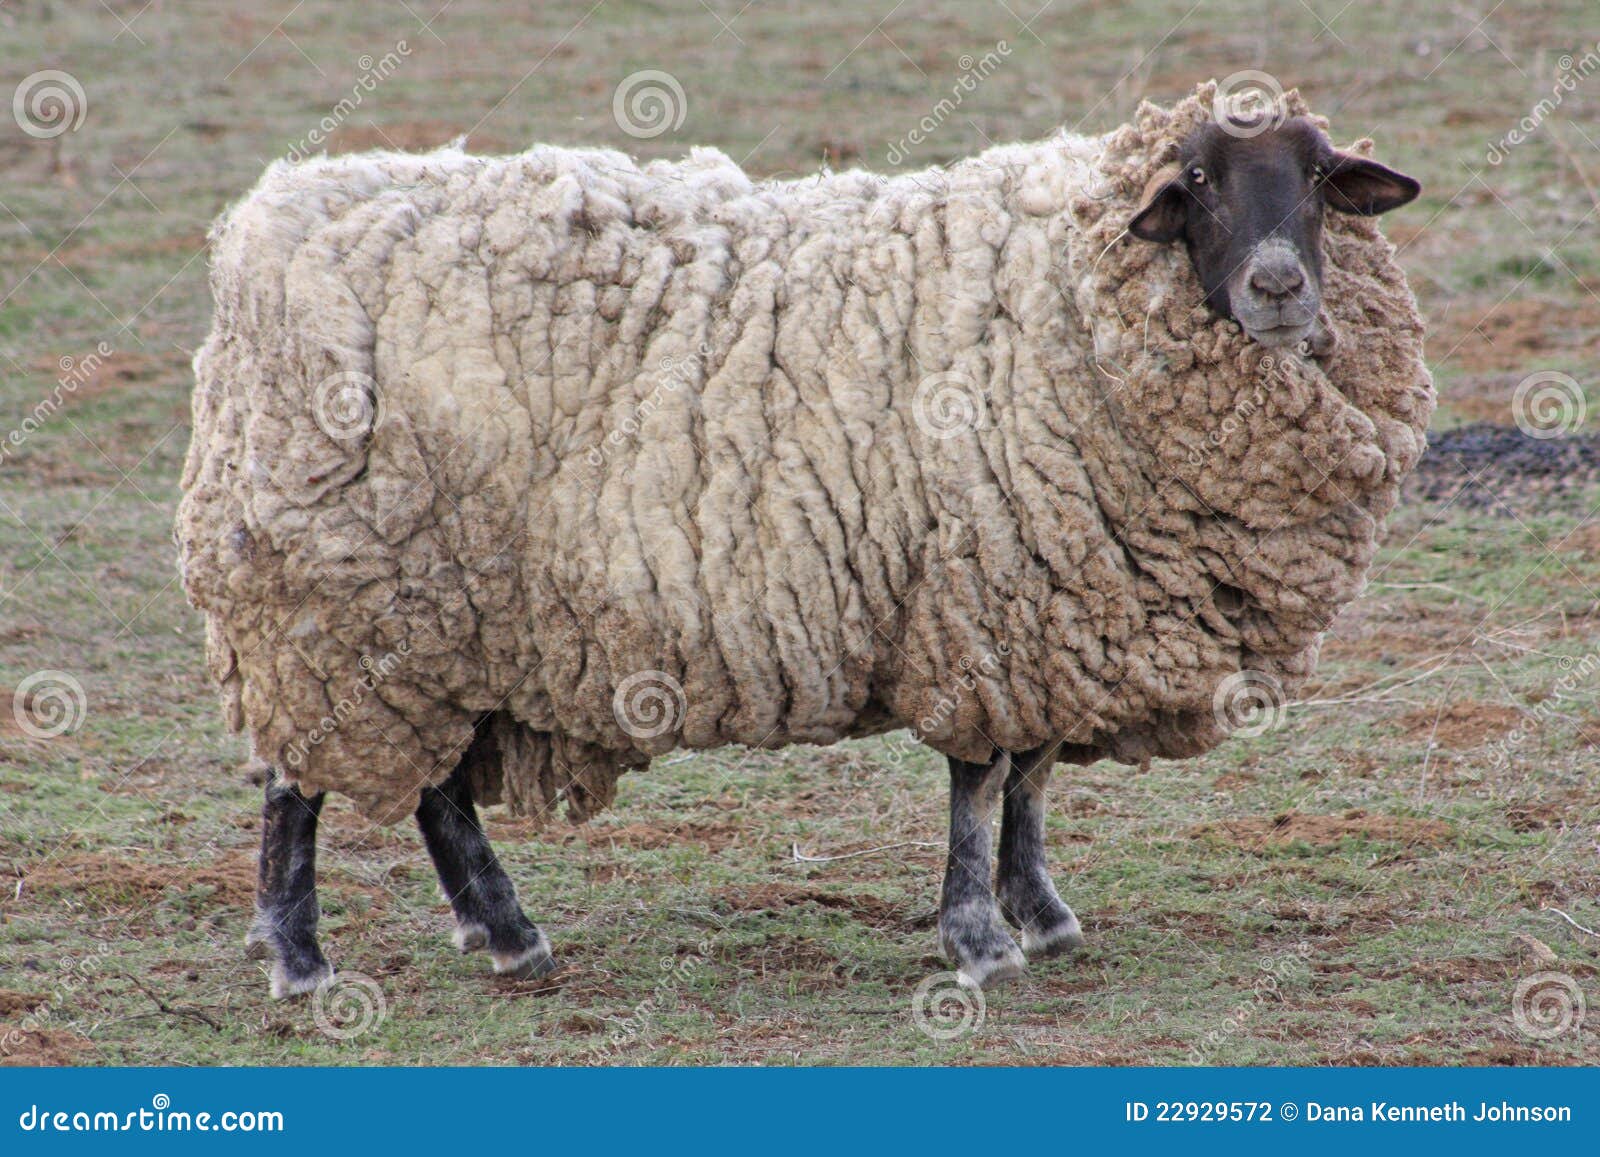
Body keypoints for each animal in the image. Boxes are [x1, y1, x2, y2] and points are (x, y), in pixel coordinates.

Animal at [176, 81, 1431, 995]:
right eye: (1198, 181)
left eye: (1319, 177)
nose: (1279, 286)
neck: (1065, 295)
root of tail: (263, 227)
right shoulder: (982, 594)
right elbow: (982, 780)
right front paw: (978, 937)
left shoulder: (1049, 609)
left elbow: (1028, 779)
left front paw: (1041, 911)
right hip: (328, 601)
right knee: (298, 782)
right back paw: (300, 955)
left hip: (435, 607)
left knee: (434, 785)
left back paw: (505, 929)